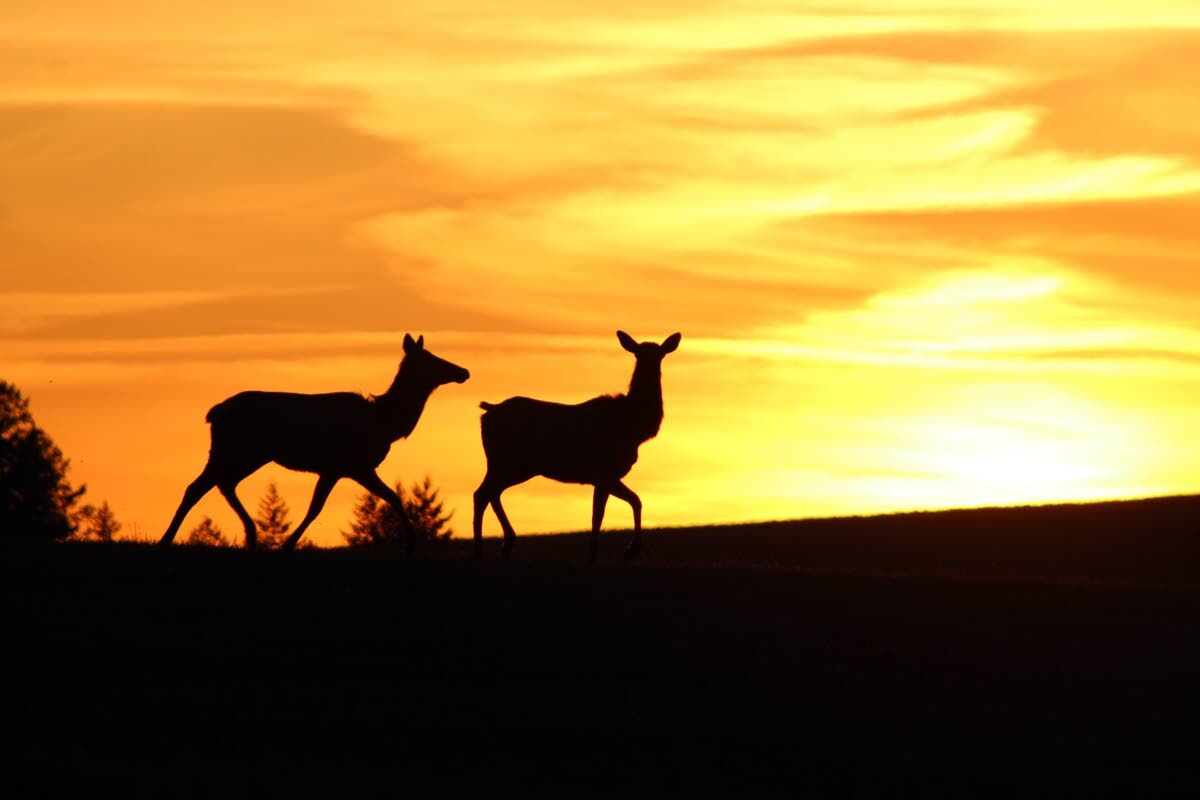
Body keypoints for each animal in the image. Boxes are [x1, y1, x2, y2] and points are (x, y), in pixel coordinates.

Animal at [160, 333, 469, 551]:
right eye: (431, 359)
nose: (463, 371)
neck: (387, 422)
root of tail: (213, 414)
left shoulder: (338, 469)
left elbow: (321, 506)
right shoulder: (353, 465)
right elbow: (385, 497)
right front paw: (411, 544)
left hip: (247, 454)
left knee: (223, 483)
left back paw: (250, 532)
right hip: (236, 450)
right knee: (198, 487)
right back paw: (167, 539)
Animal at [473, 330, 681, 563]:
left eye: (660, 354)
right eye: (638, 353)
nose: (651, 367)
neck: (634, 428)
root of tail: (487, 411)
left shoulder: (606, 476)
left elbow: (634, 501)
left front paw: (629, 549)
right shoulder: (604, 472)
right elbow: (599, 516)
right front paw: (597, 556)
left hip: (507, 465)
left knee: (491, 493)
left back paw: (506, 543)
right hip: (509, 462)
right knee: (482, 494)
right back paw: (481, 551)